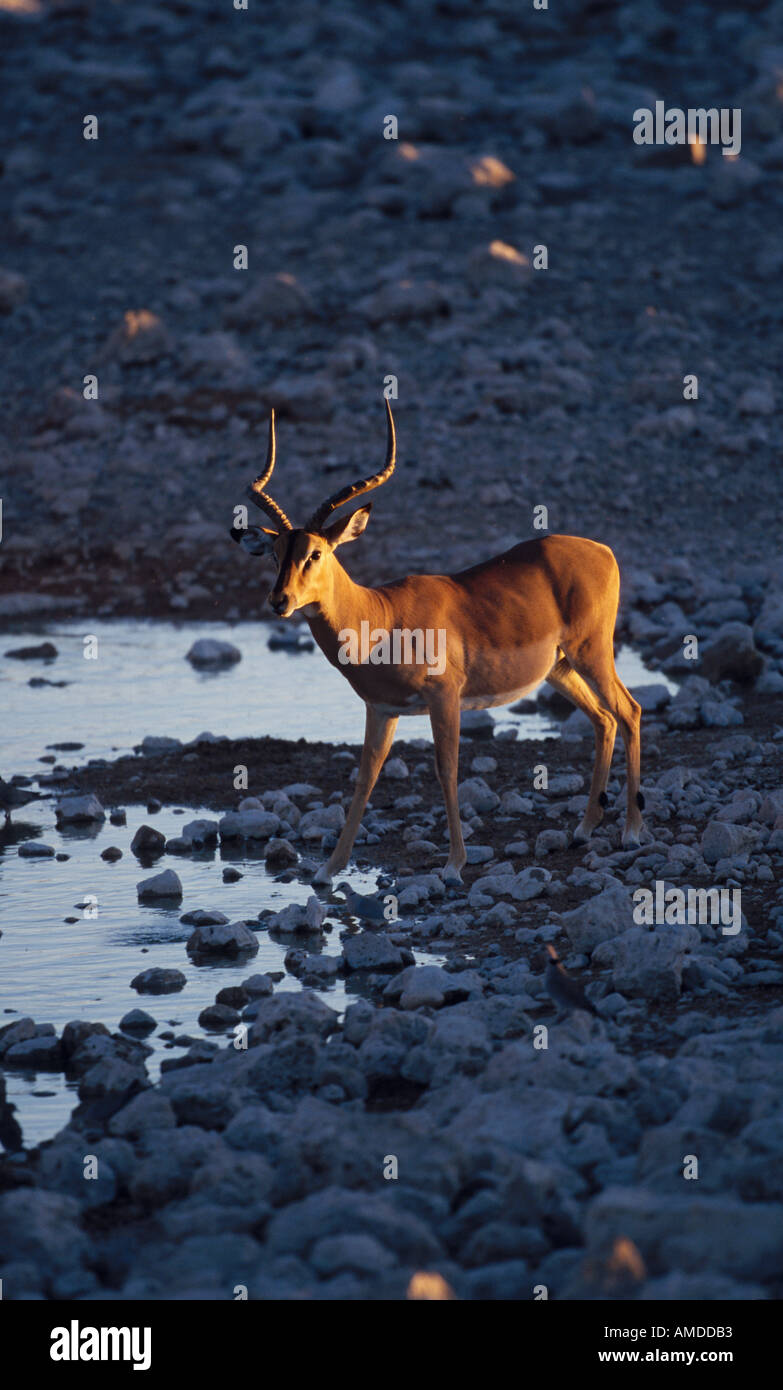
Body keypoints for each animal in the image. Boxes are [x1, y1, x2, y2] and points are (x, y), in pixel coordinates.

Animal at [230, 402, 643, 885]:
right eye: (276, 555)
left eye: (315, 553)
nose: (279, 600)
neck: (380, 619)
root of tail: (602, 550)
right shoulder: (381, 709)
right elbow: (365, 778)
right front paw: (328, 870)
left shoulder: (444, 697)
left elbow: (446, 770)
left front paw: (453, 864)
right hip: (560, 668)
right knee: (604, 719)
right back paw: (582, 830)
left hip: (591, 652)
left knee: (629, 711)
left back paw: (631, 833)